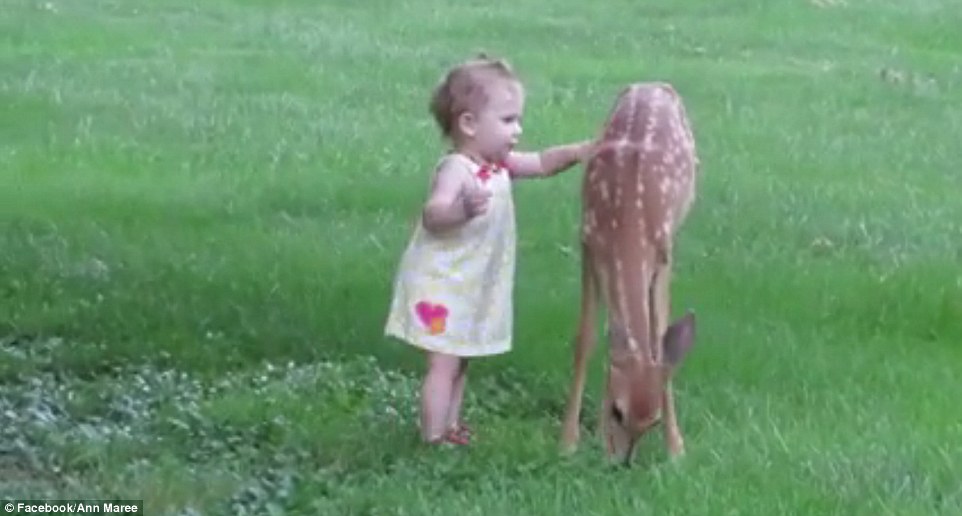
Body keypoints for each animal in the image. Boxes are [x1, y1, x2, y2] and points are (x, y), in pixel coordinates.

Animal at [561, 82, 699, 465]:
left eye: (652, 422)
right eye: (617, 411)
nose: (623, 463)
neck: (624, 224)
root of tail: (653, 84)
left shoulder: (663, 252)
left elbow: (658, 340)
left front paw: (676, 448)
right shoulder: (588, 243)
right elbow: (586, 338)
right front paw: (569, 441)